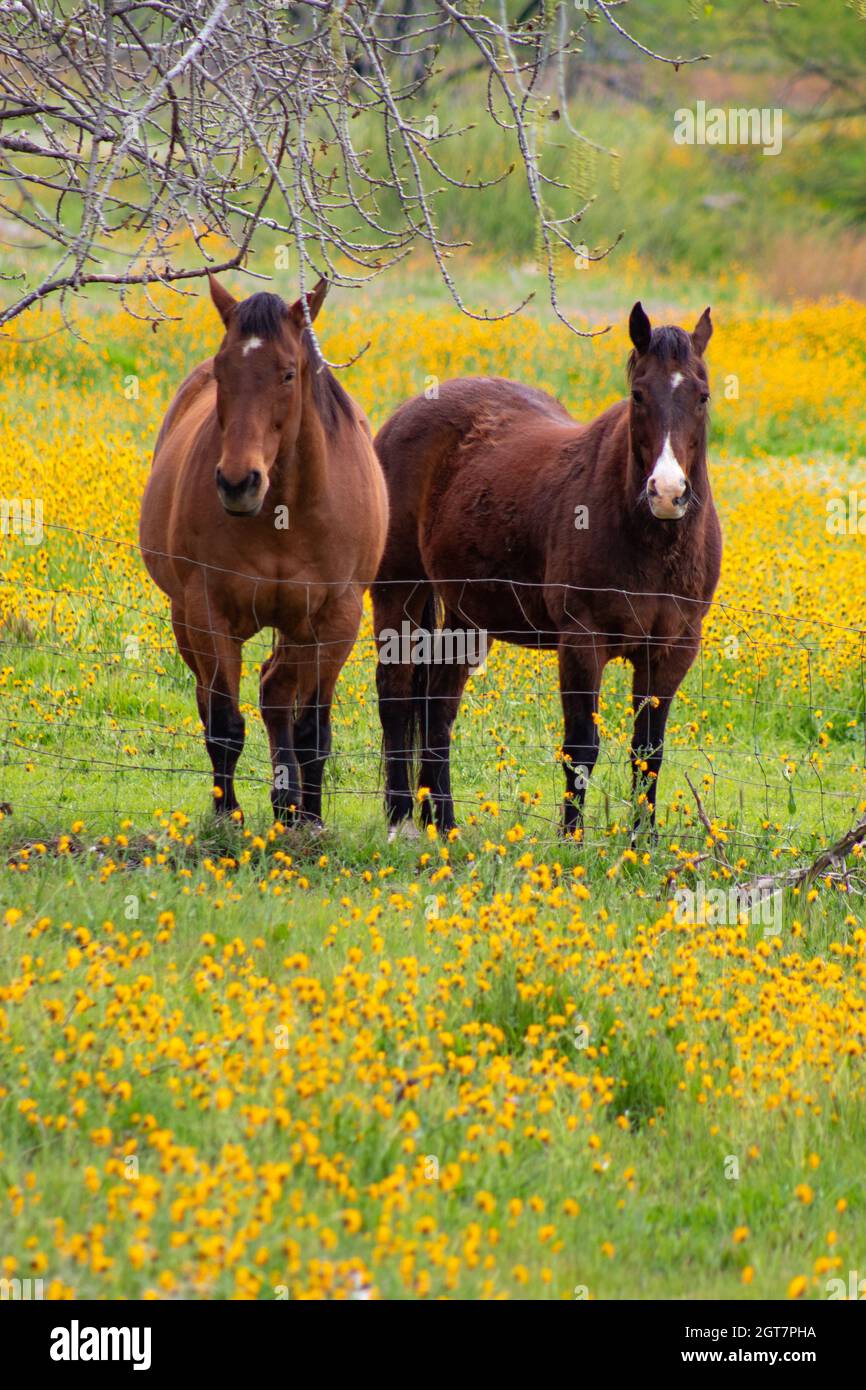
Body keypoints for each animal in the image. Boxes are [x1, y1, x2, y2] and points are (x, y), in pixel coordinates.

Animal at [140, 275, 388, 825]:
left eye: (288, 374)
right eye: (223, 370)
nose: (238, 483)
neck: (284, 512)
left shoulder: (335, 619)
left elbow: (310, 729)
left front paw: (310, 818)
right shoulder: (207, 611)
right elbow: (224, 725)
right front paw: (227, 815)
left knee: (276, 692)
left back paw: (290, 805)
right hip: (187, 619)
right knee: (215, 700)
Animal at [371, 301, 722, 840]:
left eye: (702, 396)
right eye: (638, 394)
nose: (667, 492)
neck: (649, 538)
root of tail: (405, 415)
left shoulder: (672, 648)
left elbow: (648, 752)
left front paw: (642, 844)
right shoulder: (582, 640)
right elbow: (581, 748)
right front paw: (571, 841)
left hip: (468, 616)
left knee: (438, 707)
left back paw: (444, 824)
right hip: (399, 592)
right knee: (395, 693)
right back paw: (401, 820)